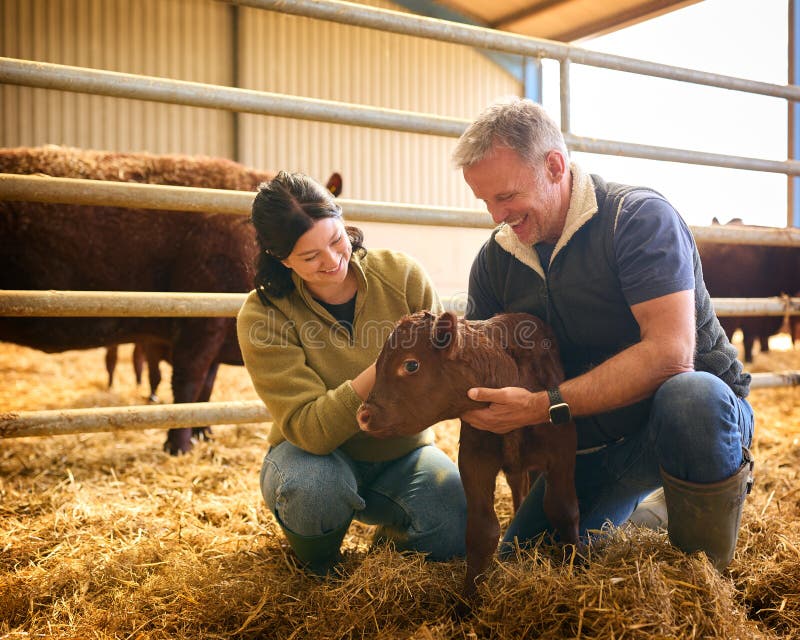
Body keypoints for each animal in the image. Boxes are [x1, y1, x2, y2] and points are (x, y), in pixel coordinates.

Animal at [357, 310, 579, 603]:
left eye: (411, 365)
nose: (363, 415)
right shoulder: (475, 458)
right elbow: (482, 531)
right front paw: (466, 601)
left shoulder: (563, 450)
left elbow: (563, 509)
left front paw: (577, 564)